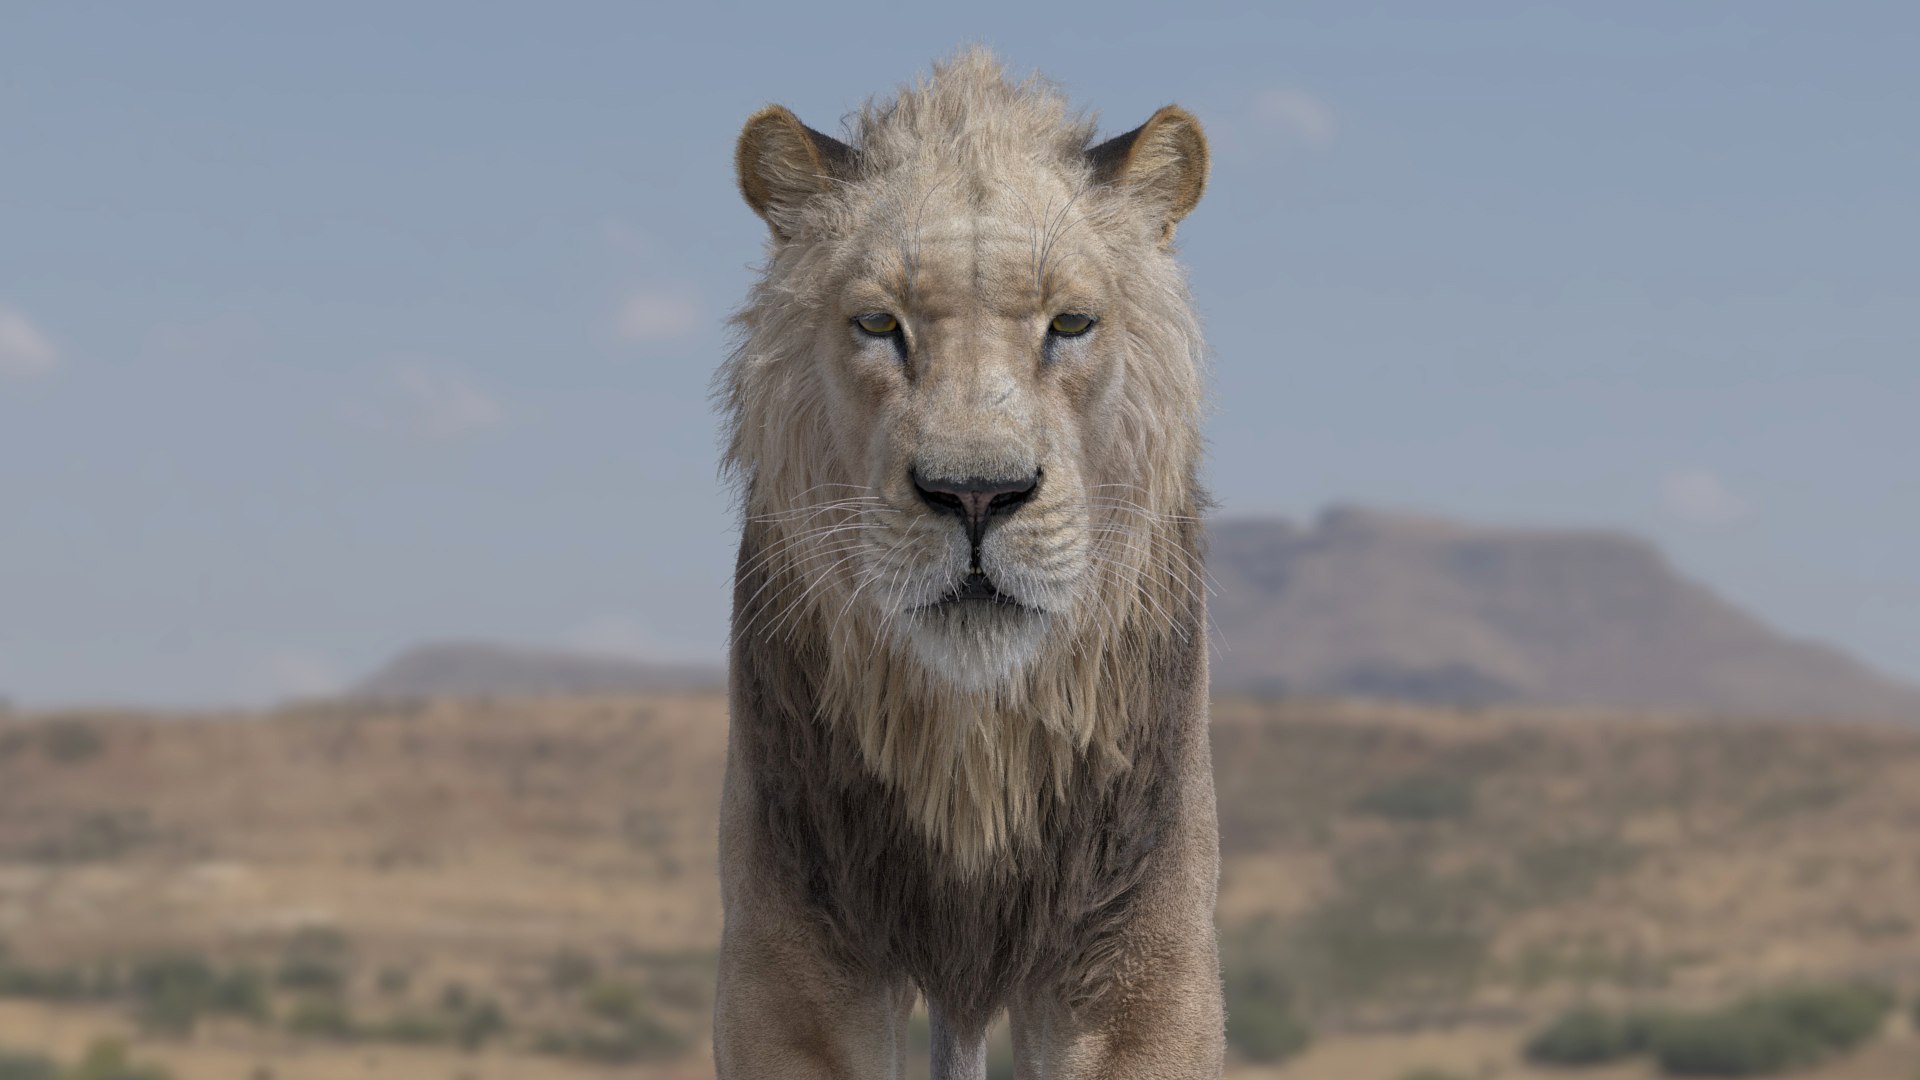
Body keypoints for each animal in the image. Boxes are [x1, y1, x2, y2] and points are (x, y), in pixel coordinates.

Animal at [714, 50, 1222, 1079]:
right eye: (879, 324)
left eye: (1071, 323)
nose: (978, 496)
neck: (971, 757)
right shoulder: (784, 954)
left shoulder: (1147, 951)